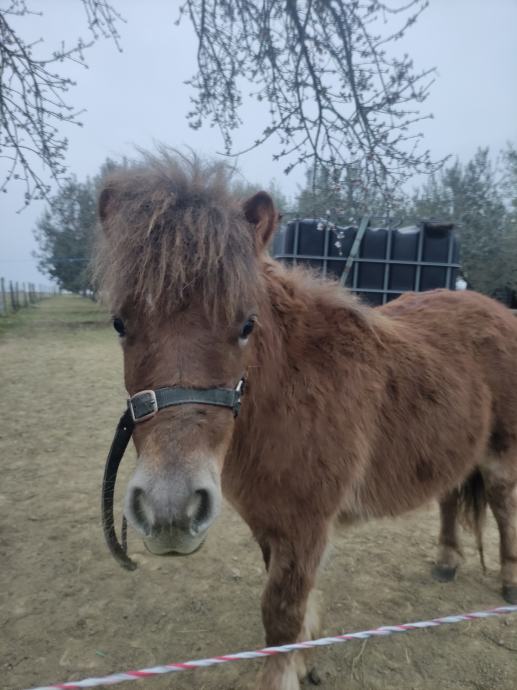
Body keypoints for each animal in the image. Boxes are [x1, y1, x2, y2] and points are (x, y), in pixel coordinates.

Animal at [95, 151, 517, 690]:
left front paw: (287, 670)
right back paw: (446, 562)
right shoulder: (271, 525)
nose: (171, 510)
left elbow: (281, 614)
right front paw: (306, 658)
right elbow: (292, 609)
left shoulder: (306, 528)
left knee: (503, 507)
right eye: (119, 323)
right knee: (448, 497)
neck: (290, 393)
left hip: (501, 452)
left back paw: (508, 581)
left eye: (246, 324)